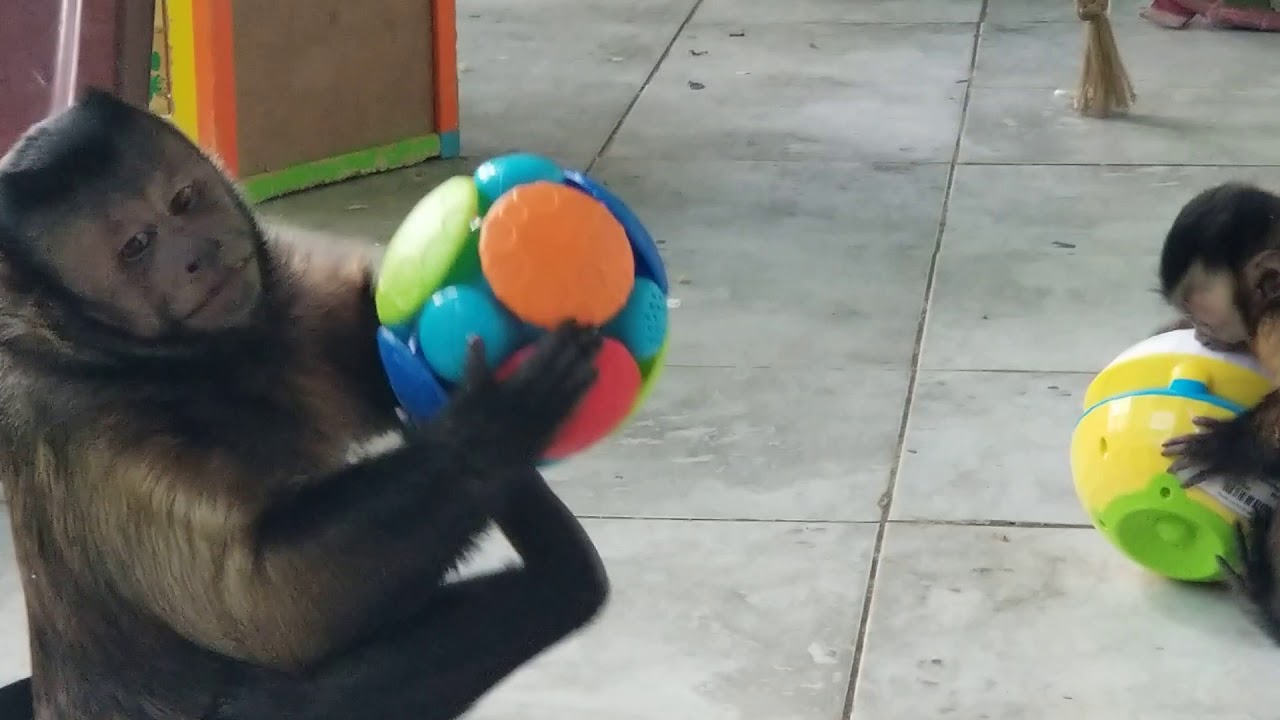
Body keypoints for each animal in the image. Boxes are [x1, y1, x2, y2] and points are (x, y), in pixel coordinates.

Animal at [0, 87, 611, 719]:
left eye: (182, 201)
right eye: (136, 247)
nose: (197, 254)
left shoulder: (294, 310)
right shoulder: (99, 436)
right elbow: (271, 601)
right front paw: (492, 431)